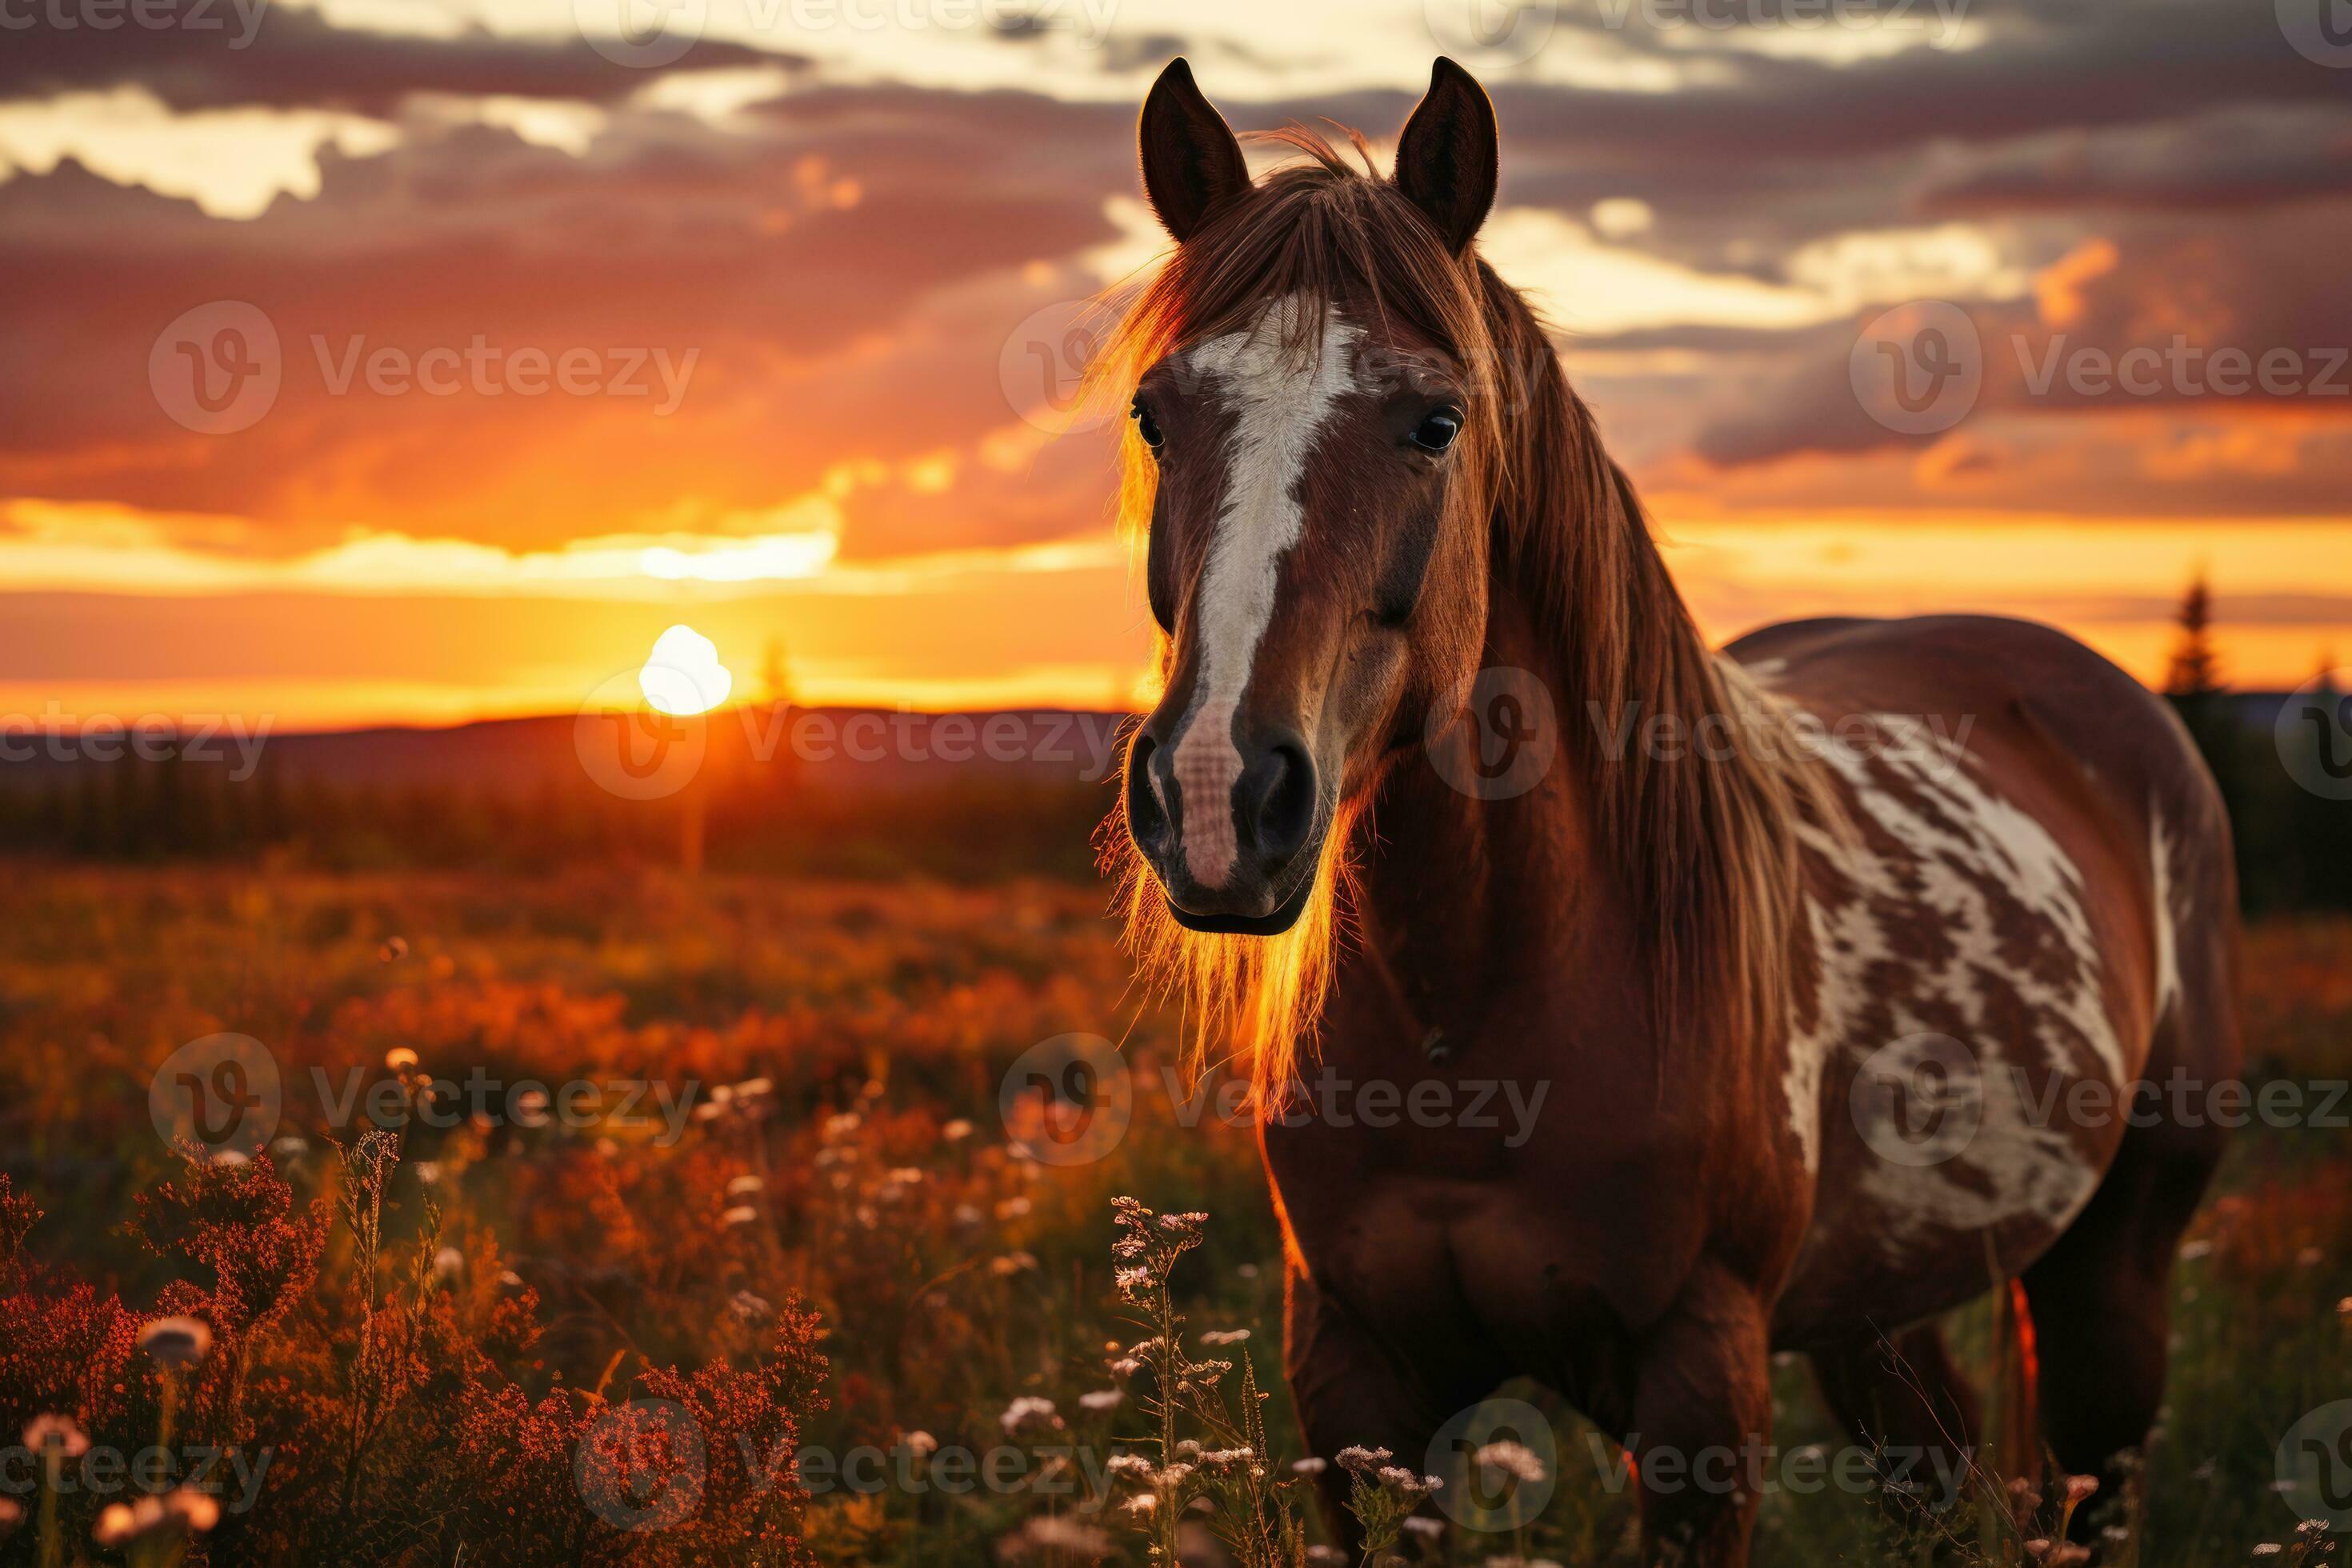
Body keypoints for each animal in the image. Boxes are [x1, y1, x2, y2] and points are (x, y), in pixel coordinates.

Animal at [1103, 56, 2240, 1565]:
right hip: (1879, 1318)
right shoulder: (1356, 1383)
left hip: (2113, 1279)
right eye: (1155, 416)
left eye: (1435, 422)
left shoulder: (1700, 1385)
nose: (1220, 794)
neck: (1478, 1014)